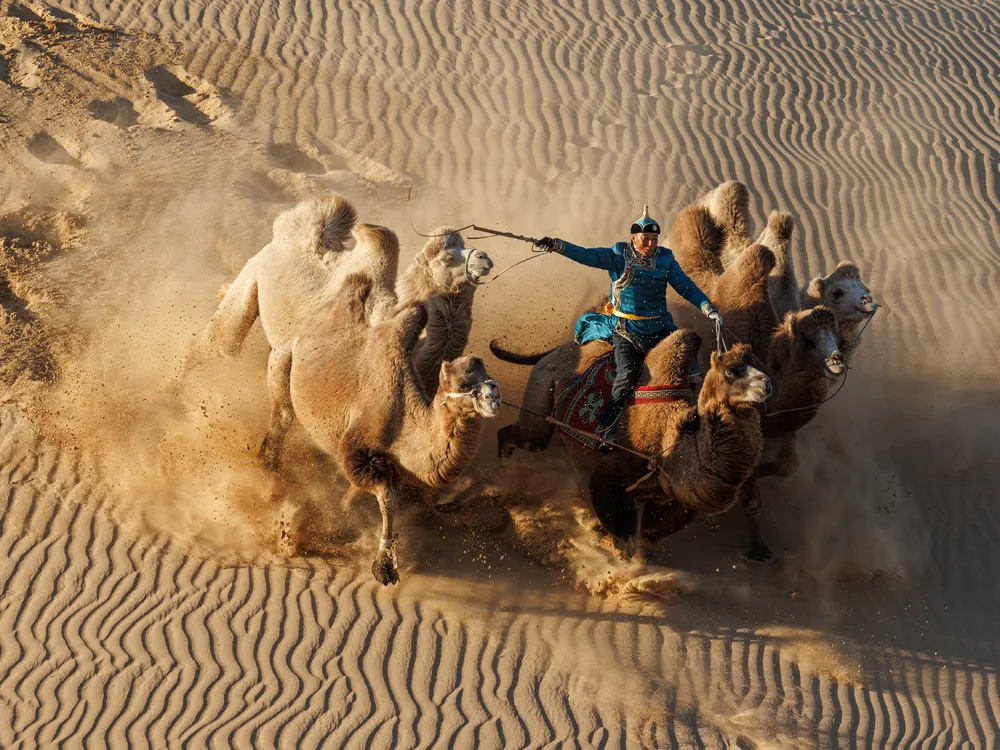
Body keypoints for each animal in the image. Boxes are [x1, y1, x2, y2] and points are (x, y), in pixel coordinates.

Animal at [491, 329, 771, 554]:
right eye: (730, 371)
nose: (766, 384)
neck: (671, 440)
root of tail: (556, 350)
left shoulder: (667, 499)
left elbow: (648, 534)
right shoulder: (614, 467)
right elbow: (622, 532)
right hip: (540, 397)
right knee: (521, 436)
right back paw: (503, 477)